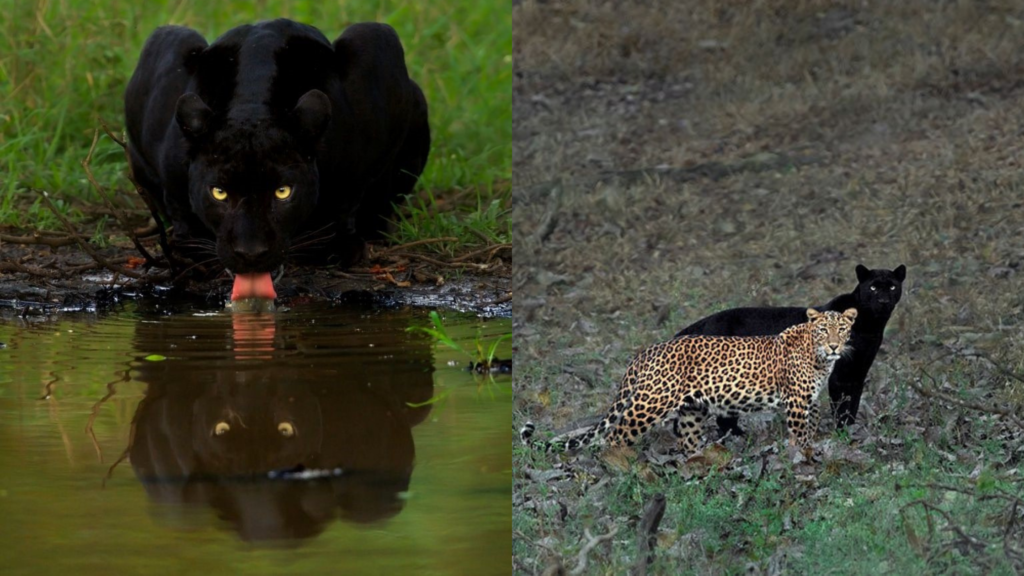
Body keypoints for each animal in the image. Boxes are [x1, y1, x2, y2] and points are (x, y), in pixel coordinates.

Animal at [521, 308, 857, 458]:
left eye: (842, 330)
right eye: (823, 331)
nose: (834, 346)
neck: (818, 358)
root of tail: (645, 352)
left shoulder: (809, 400)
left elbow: (811, 426)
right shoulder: (797, 401)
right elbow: (799, 434)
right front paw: (803, 457)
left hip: (692, 410)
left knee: (687, 440)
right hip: (649, 403)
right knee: (615, 436)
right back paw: (621, 465)